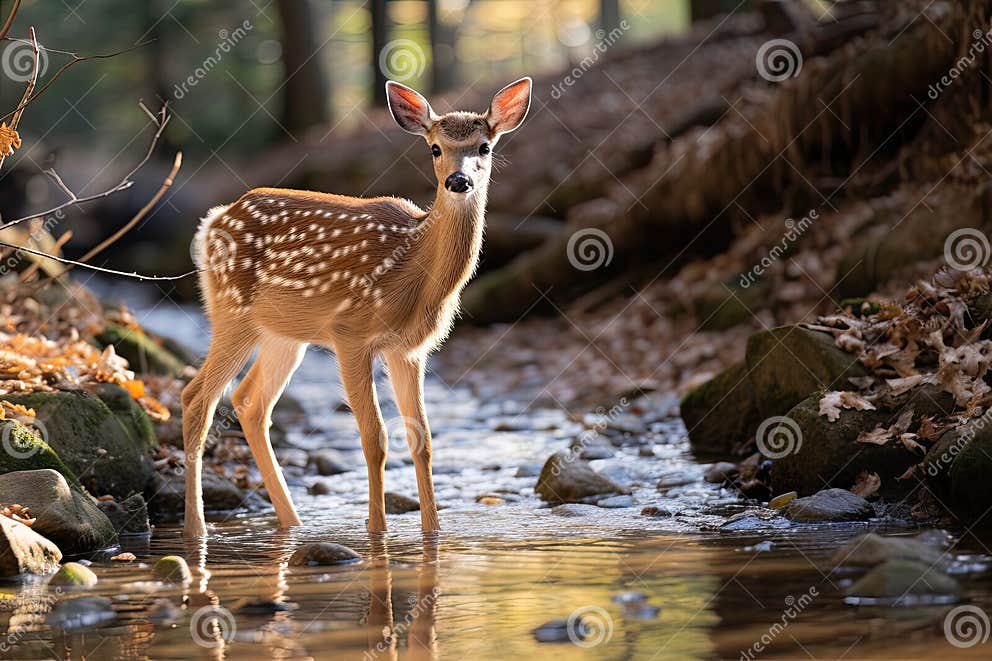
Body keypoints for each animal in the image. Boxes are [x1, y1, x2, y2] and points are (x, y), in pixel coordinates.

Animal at [181, 77, 532, 538]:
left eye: (485, 147)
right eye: (434, 148)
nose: (458, 181)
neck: (411, 272)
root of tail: (212, 221)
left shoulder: (409, 350)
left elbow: (422, 439)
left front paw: (433, 533)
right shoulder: (350, 334)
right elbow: (374, 437)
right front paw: (376, 531)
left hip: (284, 335)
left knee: (249, 402)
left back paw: (292, 523)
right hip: (232, 312)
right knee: (196, 398)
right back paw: (197, 529)